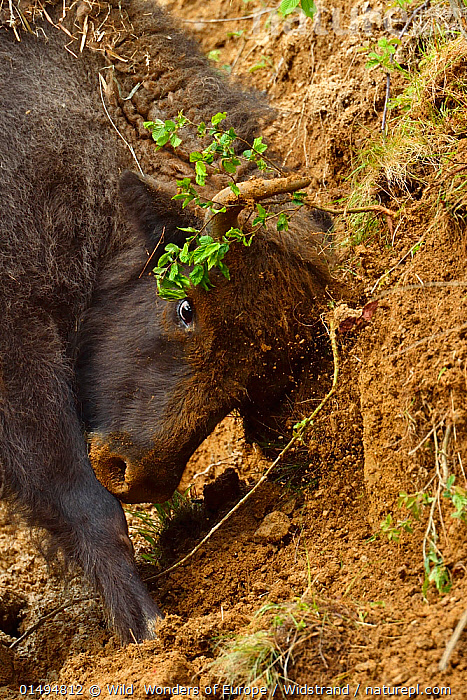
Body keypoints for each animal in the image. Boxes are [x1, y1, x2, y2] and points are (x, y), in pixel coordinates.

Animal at [0, 0, 331, 642]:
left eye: (256, 372)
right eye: (186, 307)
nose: (137, 473)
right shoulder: (20, 347)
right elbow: (82, 500)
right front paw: (146, 626)